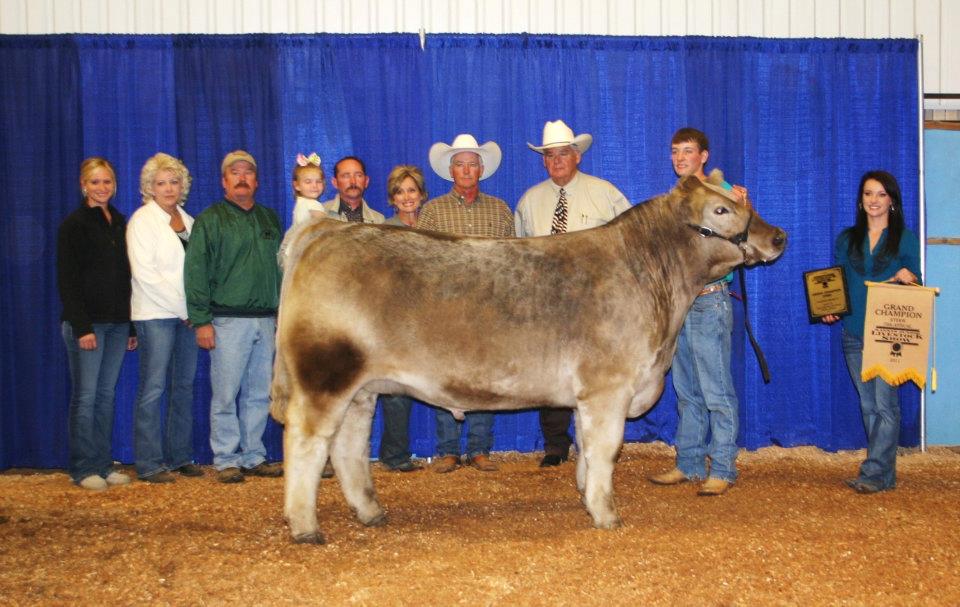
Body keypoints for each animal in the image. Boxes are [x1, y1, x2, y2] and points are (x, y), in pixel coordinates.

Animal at [270, 170, 786, 544]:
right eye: (720, 209)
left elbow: (586, 450)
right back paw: (305, 526)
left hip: (361, 388)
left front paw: (584, 495)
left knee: (349, 446)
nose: (779, 236)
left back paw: (371, 512)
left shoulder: (588, 395)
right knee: (307, 443)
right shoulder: (608, 388)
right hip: (326, 375)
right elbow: (606, 451)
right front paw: (607, 514)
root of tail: (325, 231)